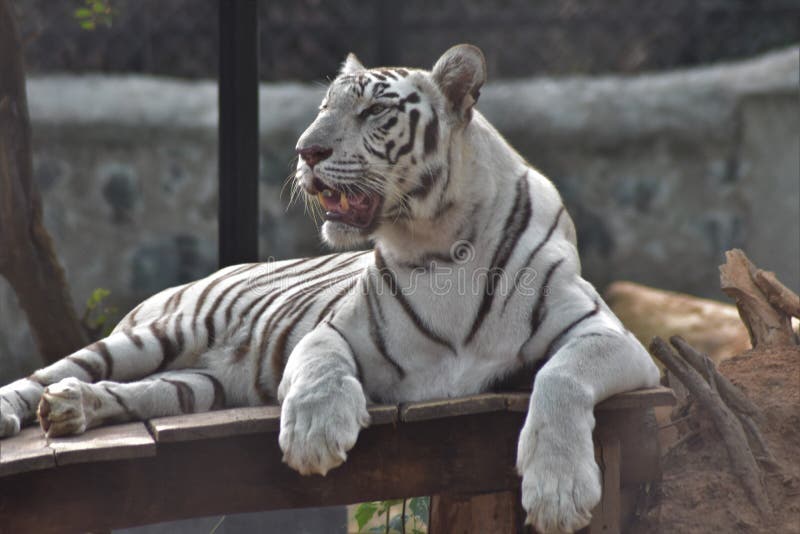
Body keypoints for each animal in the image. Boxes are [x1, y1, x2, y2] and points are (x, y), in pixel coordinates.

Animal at [0, 45, 660, 533]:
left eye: (373, 113)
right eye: (324, 108)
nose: (306, 150)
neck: (439, 239)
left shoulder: (607, 333)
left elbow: (560, 377)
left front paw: (559, 491)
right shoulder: (334, 330)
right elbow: (319, 366)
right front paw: (314, 436)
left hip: (196, 386)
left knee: (132, 391)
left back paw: (71, 408)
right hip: (157, 334)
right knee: (46, 374)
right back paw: (35, 406)